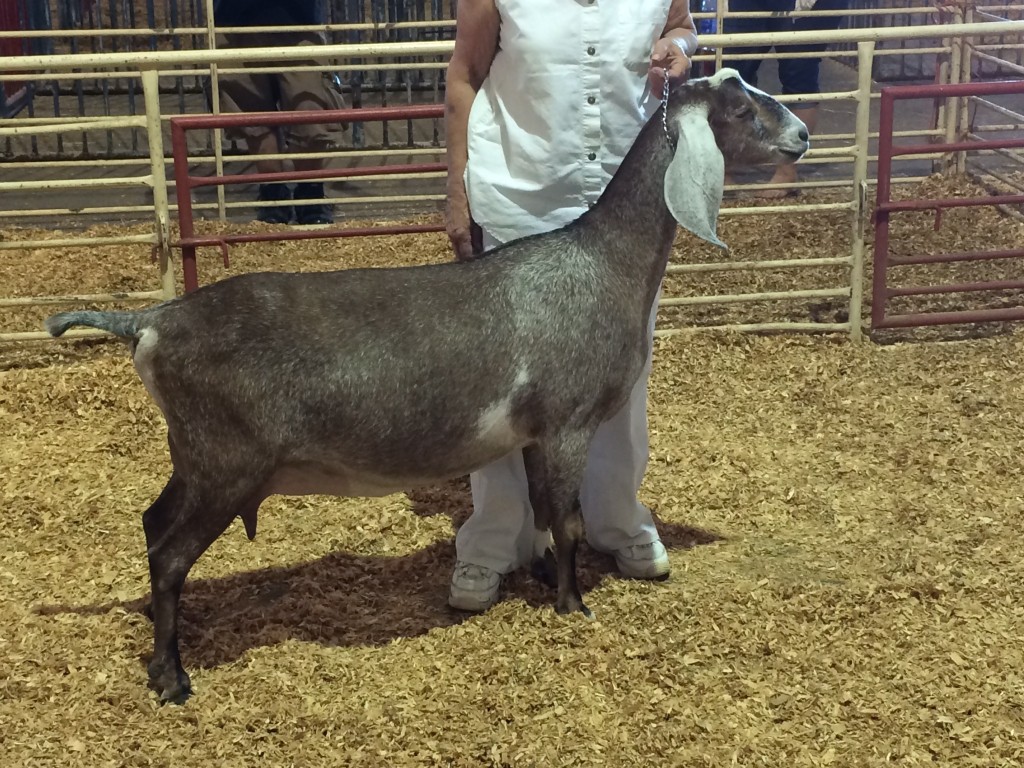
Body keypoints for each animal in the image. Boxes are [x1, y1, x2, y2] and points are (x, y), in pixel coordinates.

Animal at [45, 69, 809, 703]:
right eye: (743, 108)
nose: (802, 136)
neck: (600, 263)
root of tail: (152, 321)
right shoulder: (567, 421)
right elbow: (566, 518)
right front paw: (573, 604)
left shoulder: (534, 432)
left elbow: (540, 510)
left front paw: (539, 579)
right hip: (225, 463)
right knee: (170, 554)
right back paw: (172, 679)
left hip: (195, 457)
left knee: (152, 526)